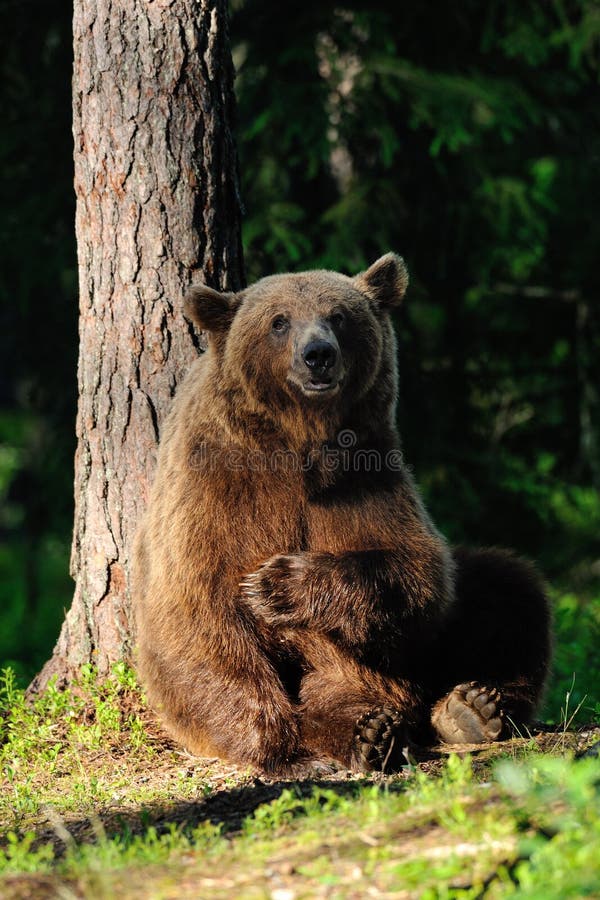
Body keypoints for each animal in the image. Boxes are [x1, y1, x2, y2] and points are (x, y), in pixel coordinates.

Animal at [133, 254, 551, 774]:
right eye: (279, 321)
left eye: (338, 316)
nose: (318, 354)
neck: (300, 445)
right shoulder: (215, 488)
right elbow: (199, 611)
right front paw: (279, 747)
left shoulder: (364, 480)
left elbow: (417, 573)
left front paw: (276, 582)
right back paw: (376, 730)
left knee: (508, 588)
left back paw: (461, 711)